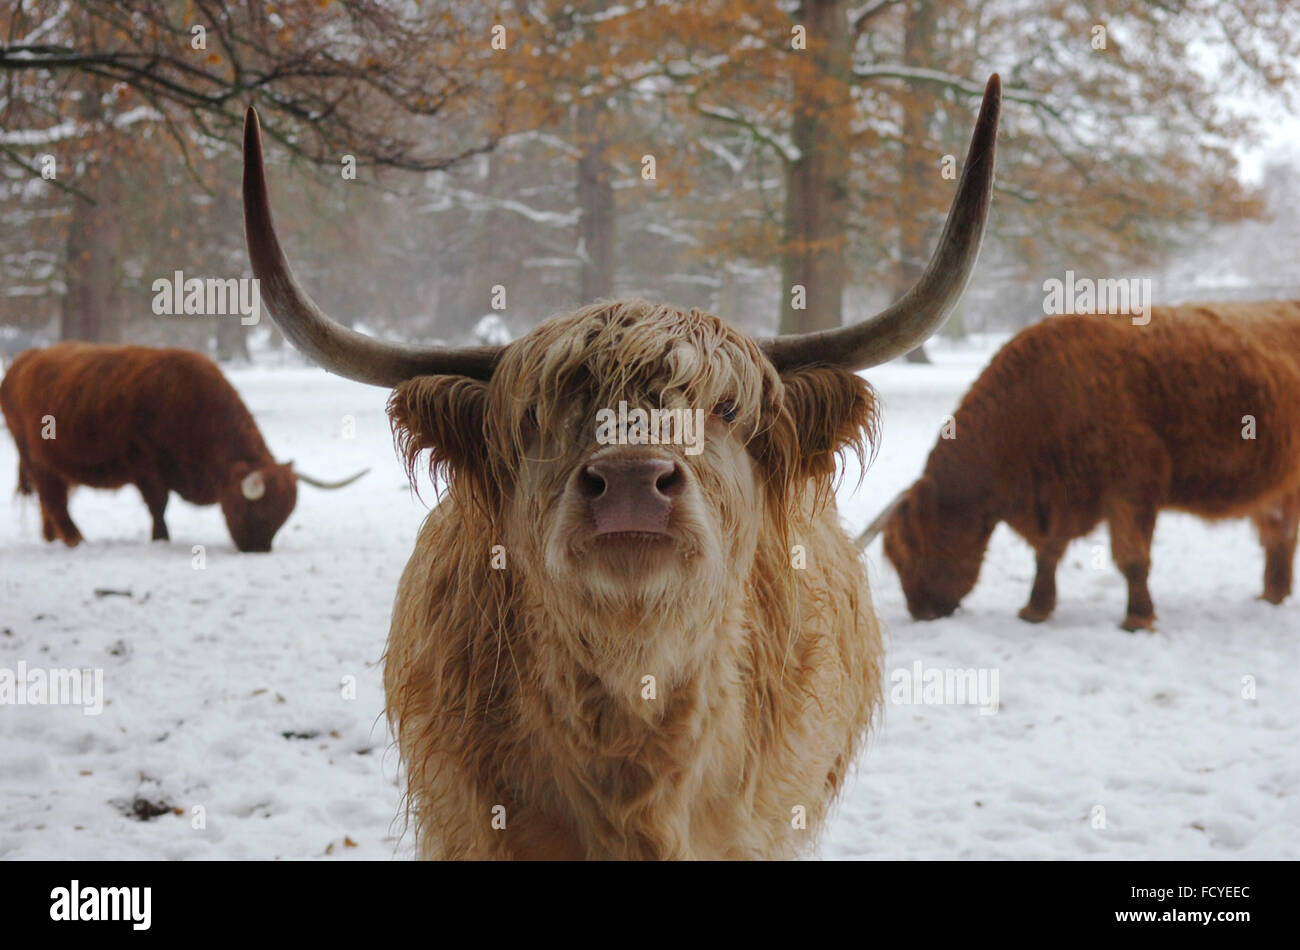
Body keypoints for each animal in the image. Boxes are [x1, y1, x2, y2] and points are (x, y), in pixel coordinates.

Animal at [0, 343, 368, 552]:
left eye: (284, 515)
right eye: (258, 510)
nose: (258, 549)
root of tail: (24, 360)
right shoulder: (146, 467)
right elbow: (158, 506)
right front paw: (160, 539)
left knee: (53, 498)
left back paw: (54, 537)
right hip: (34, 455)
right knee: (53, 498)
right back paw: (74, 540)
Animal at [861, 307, 1300, 632]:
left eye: (908, 549)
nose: (920, 612)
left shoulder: (1133, 485)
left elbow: (1131, 557)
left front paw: (1138, 618)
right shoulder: (1060, 497)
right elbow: (1047, 554)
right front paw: (1036, 609)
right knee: (1277, 535)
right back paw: (1271, 597)